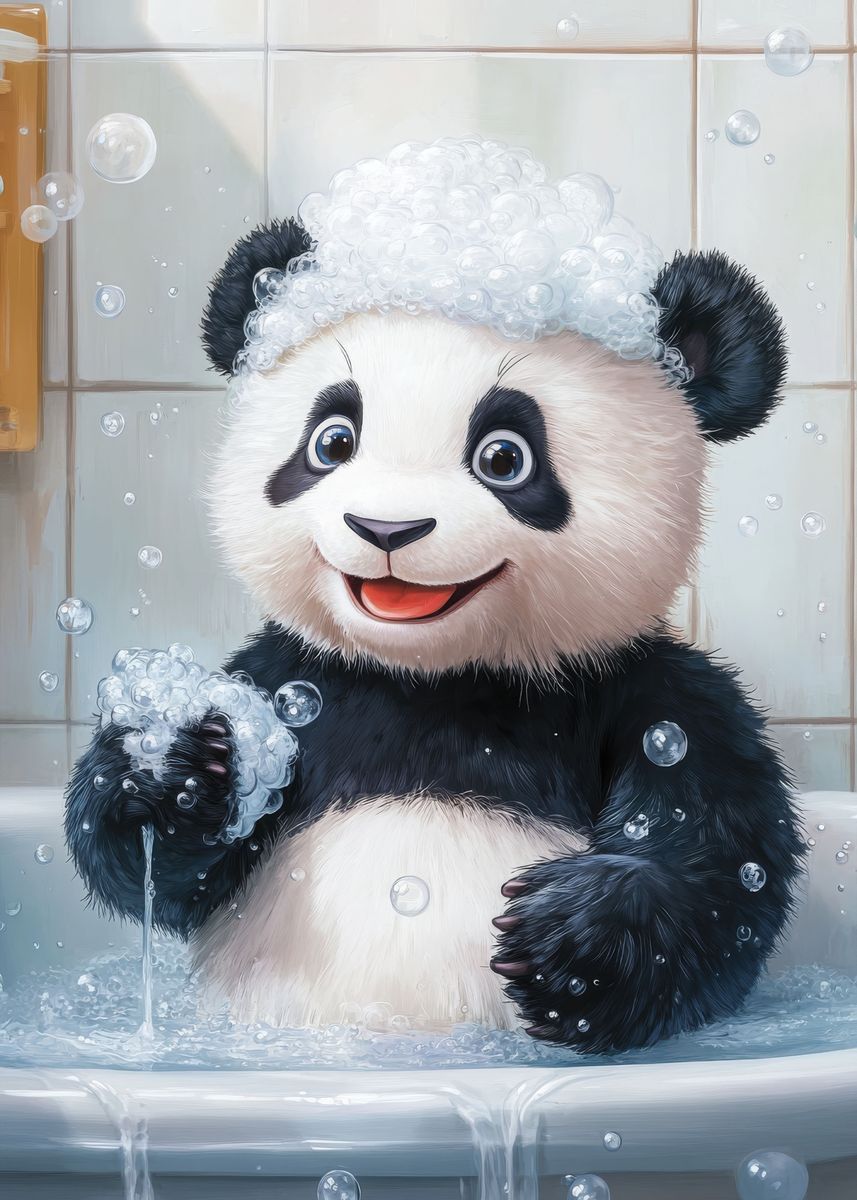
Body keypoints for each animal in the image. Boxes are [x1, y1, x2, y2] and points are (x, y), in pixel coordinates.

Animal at [66, 137, 804, 1053]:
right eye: (331, 441)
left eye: (504, 457)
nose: (386, 527)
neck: (435, 680)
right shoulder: (291, 677)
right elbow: (159, 880)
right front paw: (171, 763)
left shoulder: (648, 691)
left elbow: (726, 868)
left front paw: (573, 944)